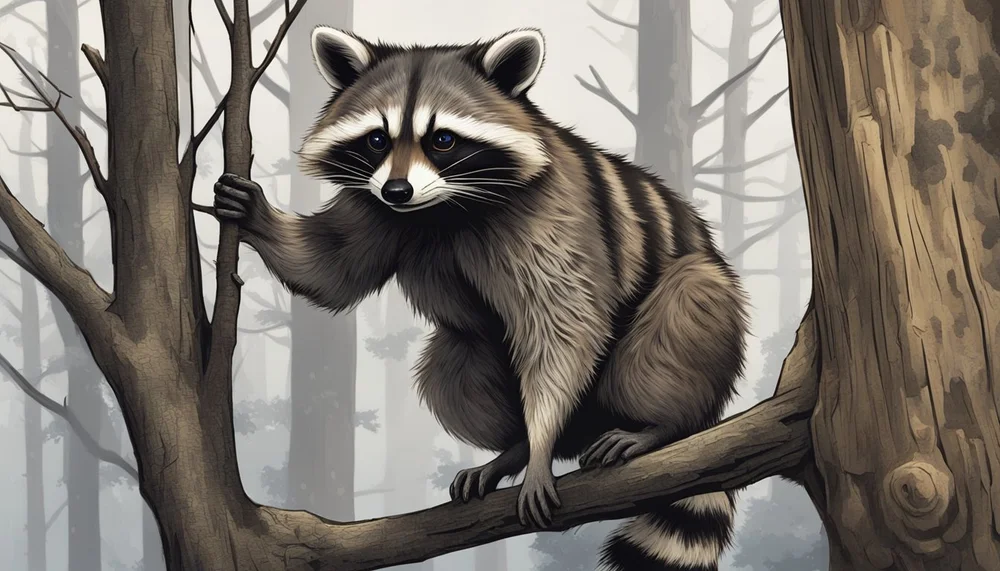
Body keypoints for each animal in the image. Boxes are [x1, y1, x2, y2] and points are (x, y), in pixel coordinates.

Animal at [214, 26, 749, 571]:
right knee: (453, 361)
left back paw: (660, 424)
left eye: (443, 140)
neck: (443, 207)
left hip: (685, 332)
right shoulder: (374, 206)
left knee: (692, 292)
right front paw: (261, 219)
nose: (398, 189)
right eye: (377, 138)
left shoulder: (555, 213)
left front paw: (541, 446)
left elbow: (566, 324)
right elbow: (333, 267)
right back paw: (512, 446)